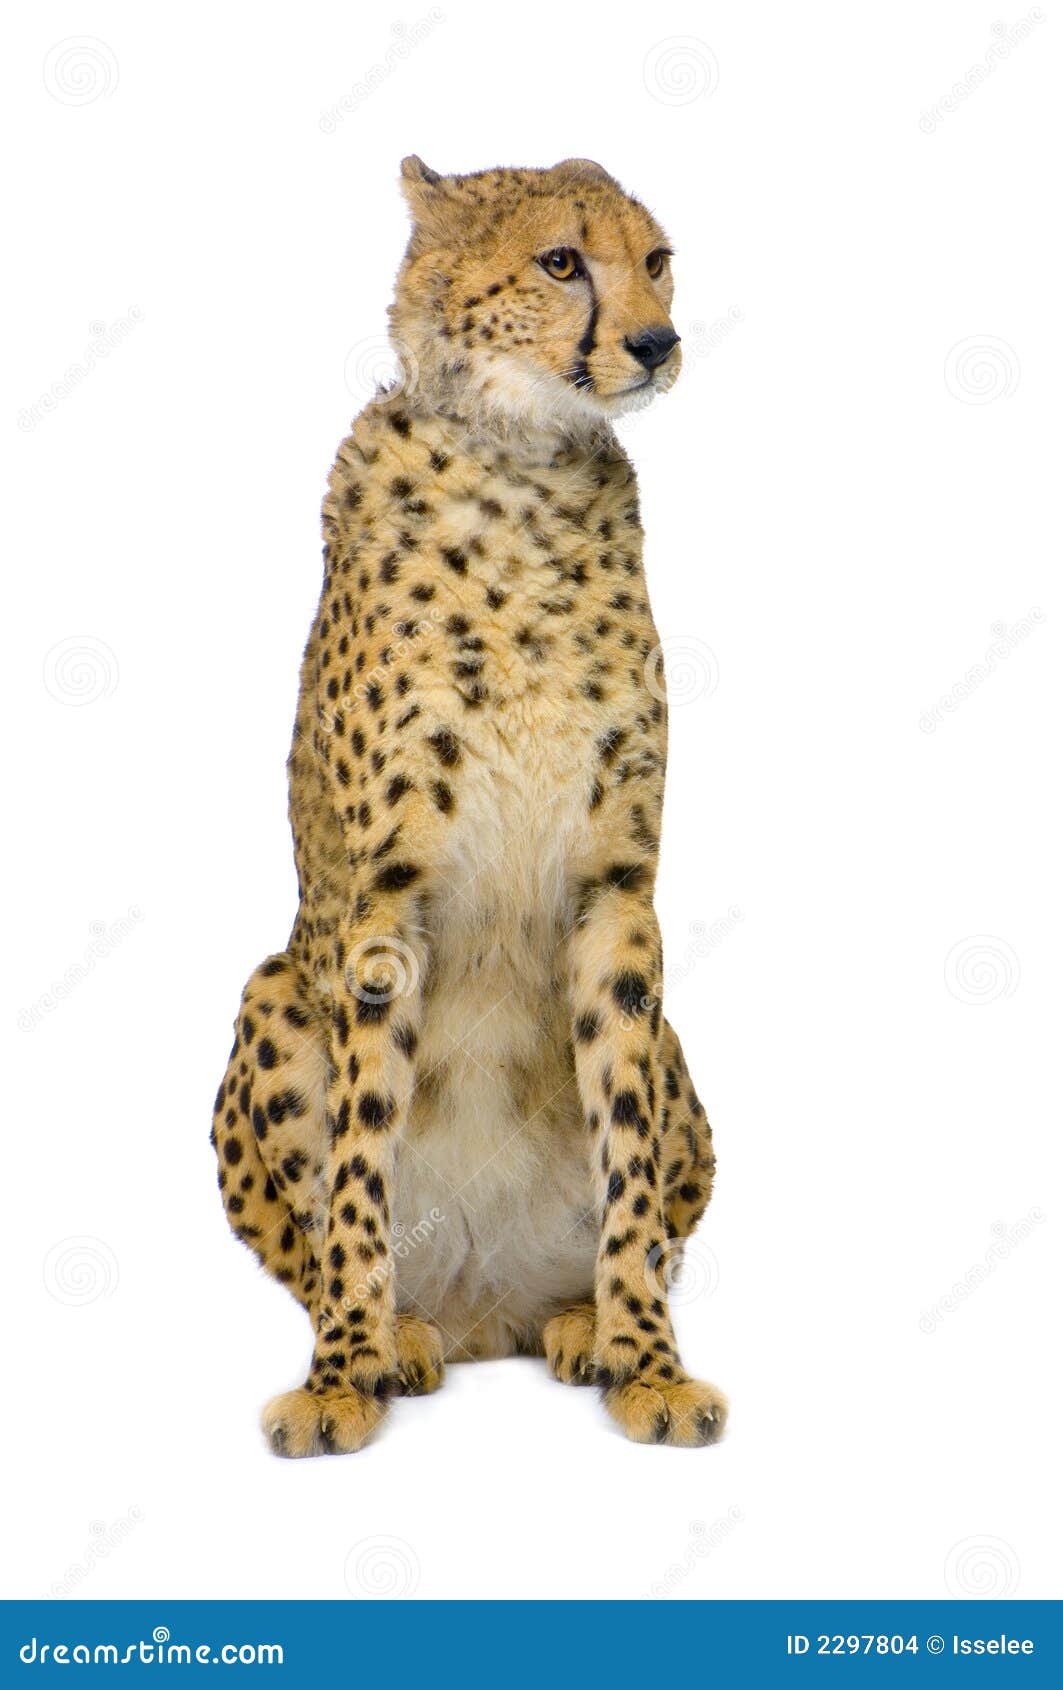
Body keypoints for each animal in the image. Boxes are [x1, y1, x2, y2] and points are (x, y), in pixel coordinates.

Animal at [211, 155, 728, 1456]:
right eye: (561, 261)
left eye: (658, 261)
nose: (657, 342)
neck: (523, 466)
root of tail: (486, 1306)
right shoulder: (380, 909)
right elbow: (356, 1159)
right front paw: (341, 1373)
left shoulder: (616, 892)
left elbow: (628, 1150)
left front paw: (647, 1358)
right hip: (272, 986)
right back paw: (397, 1331)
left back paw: (581, 1321)